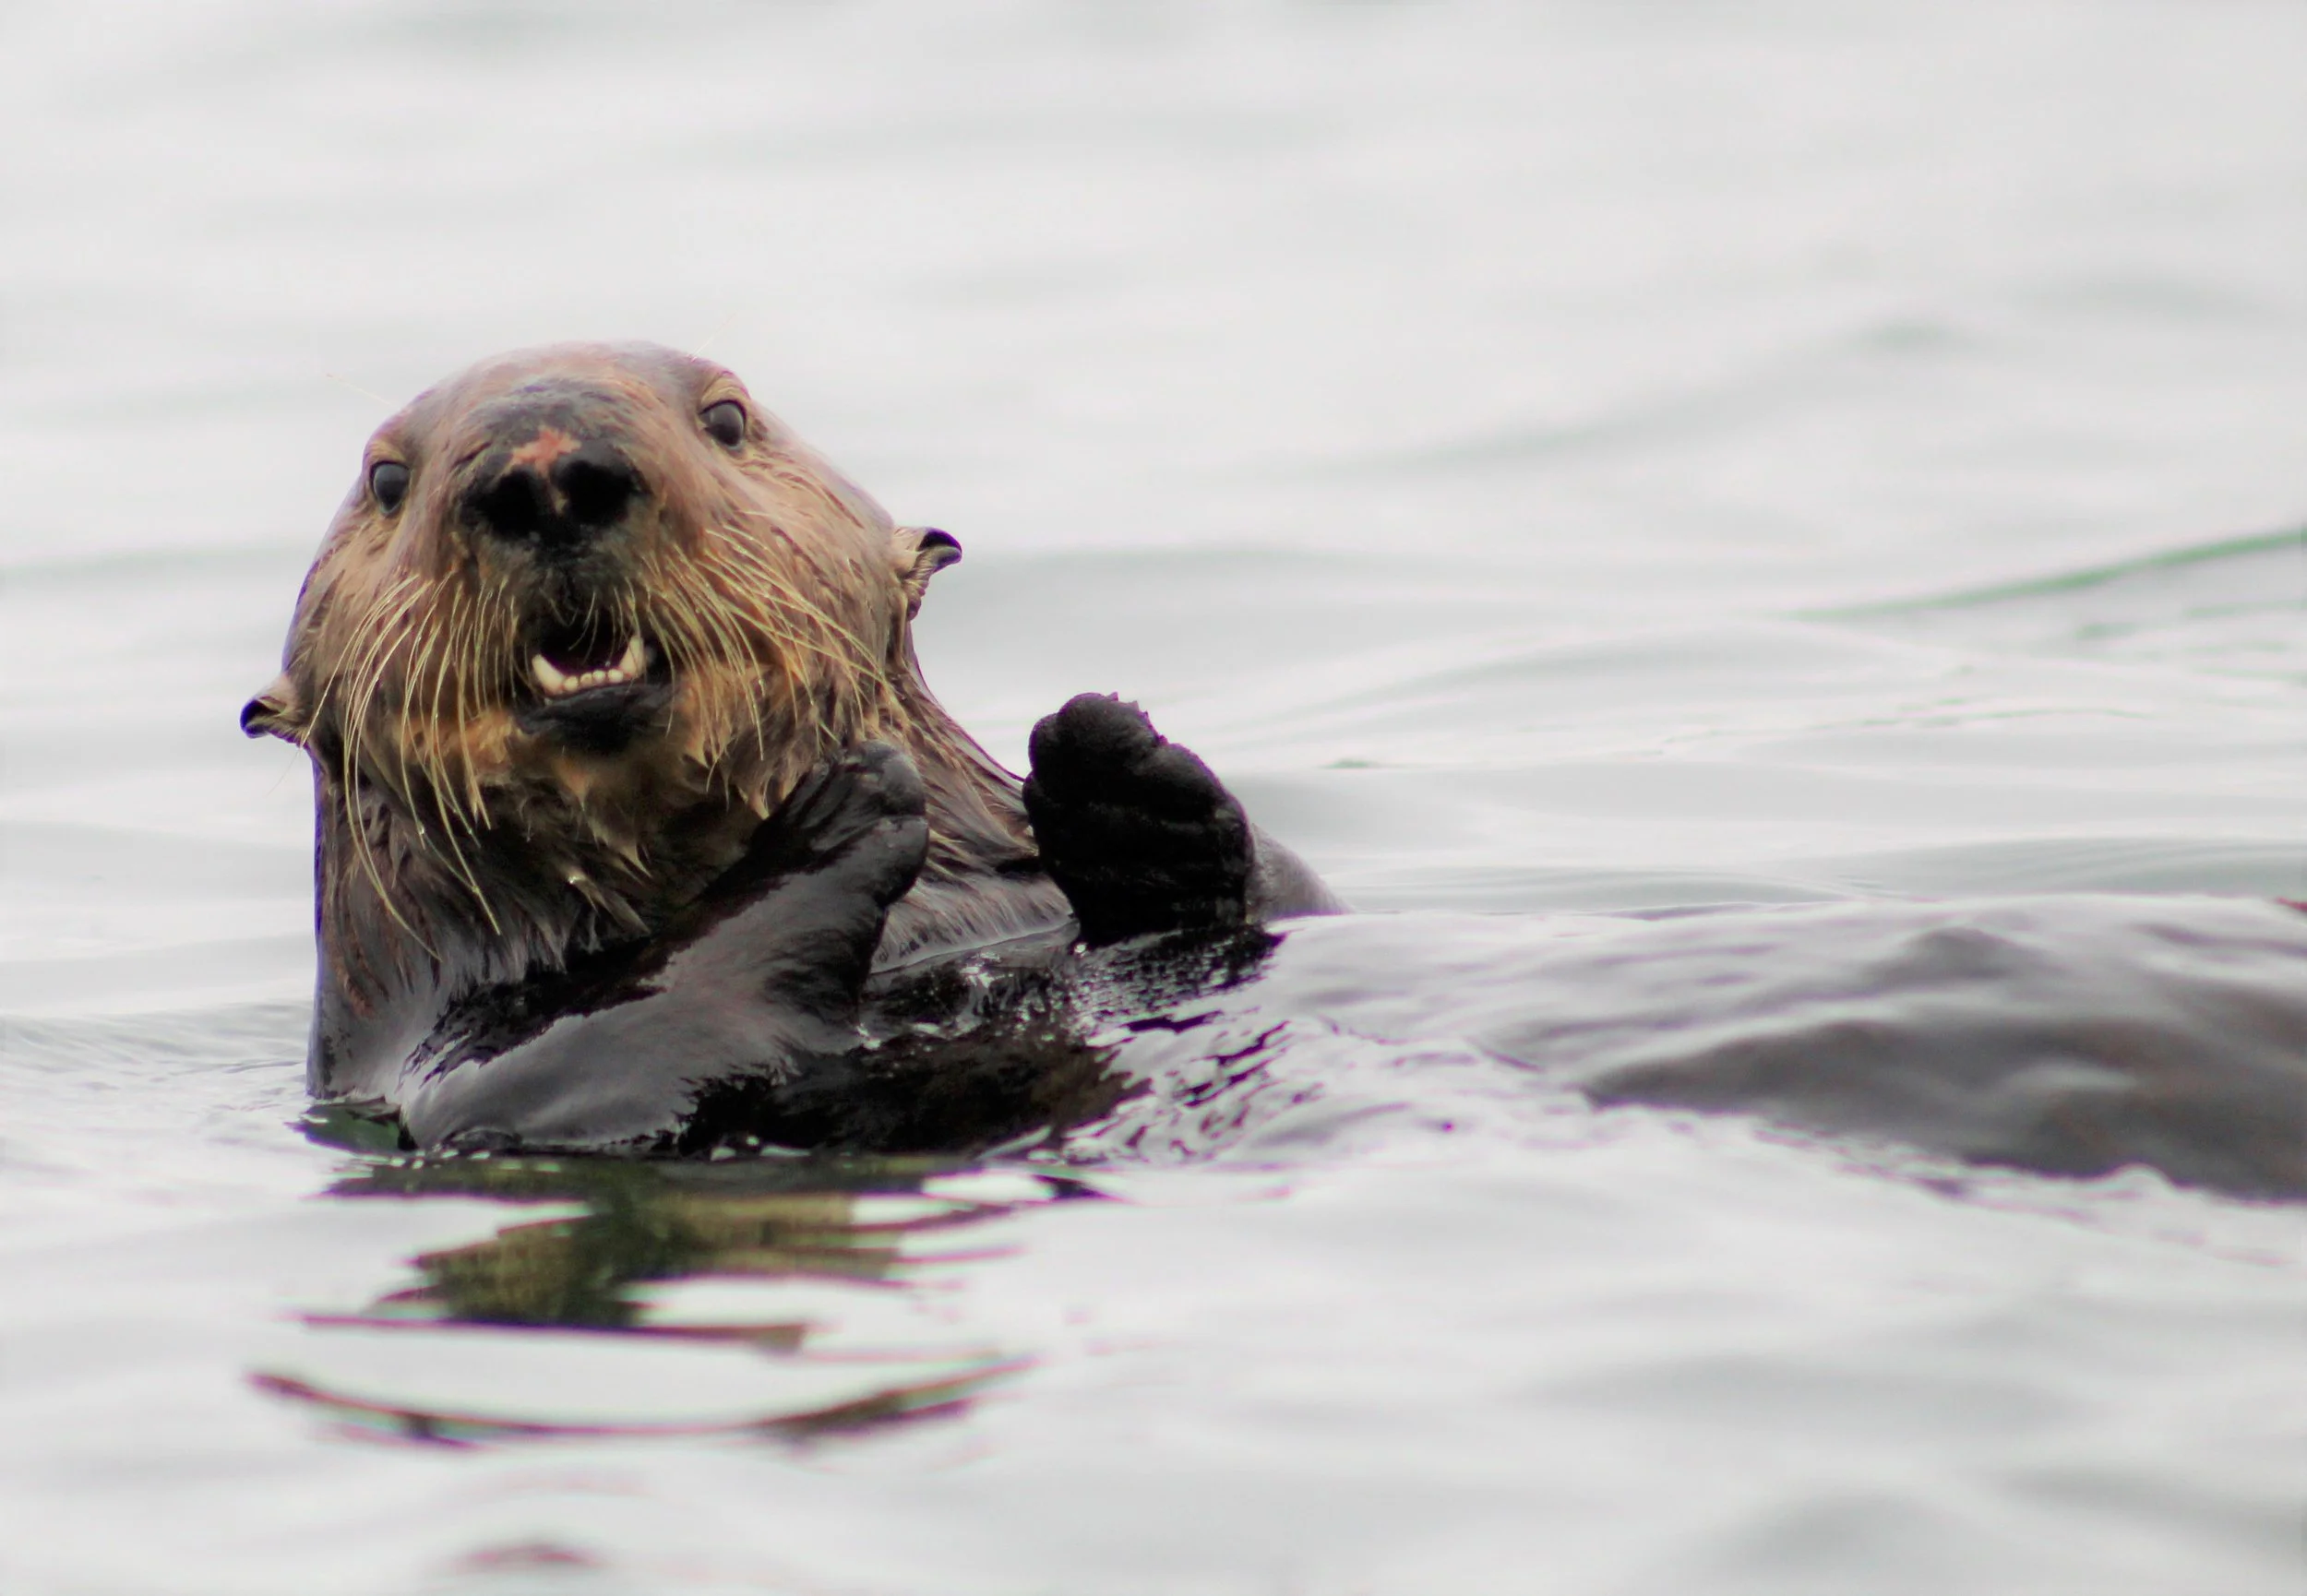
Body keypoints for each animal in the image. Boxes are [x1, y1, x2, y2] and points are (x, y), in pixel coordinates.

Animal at [244, 343, 1340, 1154]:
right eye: (387, 479)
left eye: (728, 419)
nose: (549, 475)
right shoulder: (440, 1071)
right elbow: (590, 1053)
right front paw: (839, 817)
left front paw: (1109, 771)